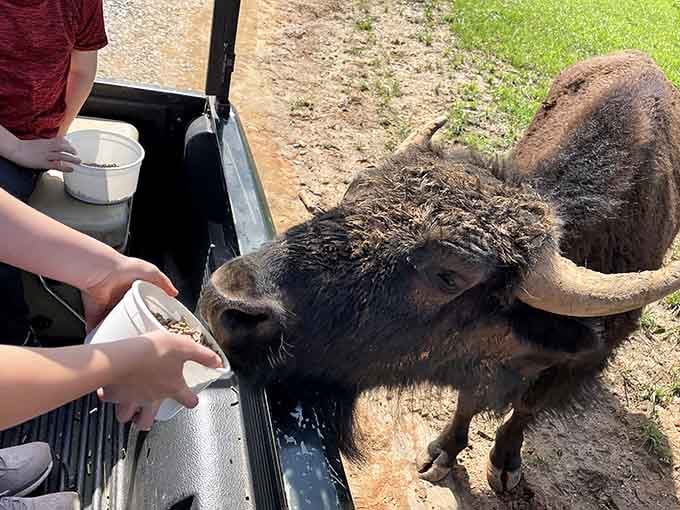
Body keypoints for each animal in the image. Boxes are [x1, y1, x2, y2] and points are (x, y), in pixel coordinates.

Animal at [199, 51, 680, 493]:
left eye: (449, 276)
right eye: (355, 190)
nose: (226, 301)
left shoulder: (576, 366)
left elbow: (524, 408)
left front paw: (504, 465)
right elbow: (469, 399)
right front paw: (442, 455)